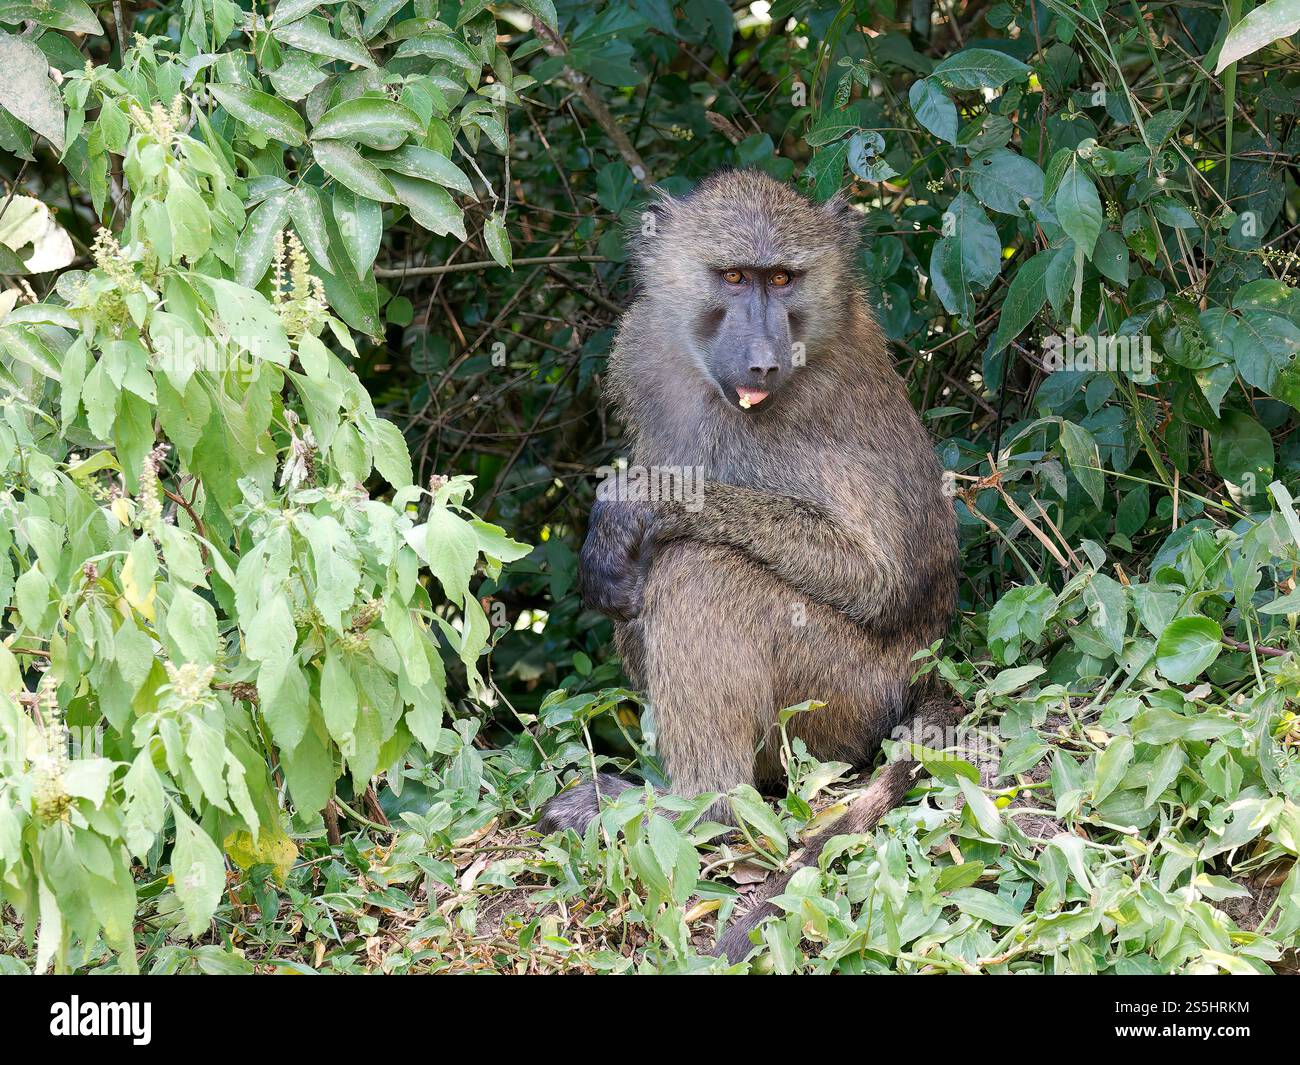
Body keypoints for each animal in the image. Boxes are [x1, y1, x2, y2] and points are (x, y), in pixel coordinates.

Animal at [535, 169, 959, 963]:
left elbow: (881, 578)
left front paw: (636, 502)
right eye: (734, 276)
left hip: (839, 698)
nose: (763, 359)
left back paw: (707, 810)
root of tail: (919, 678)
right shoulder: (641, 352)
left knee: (698, 566)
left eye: (782, 279)